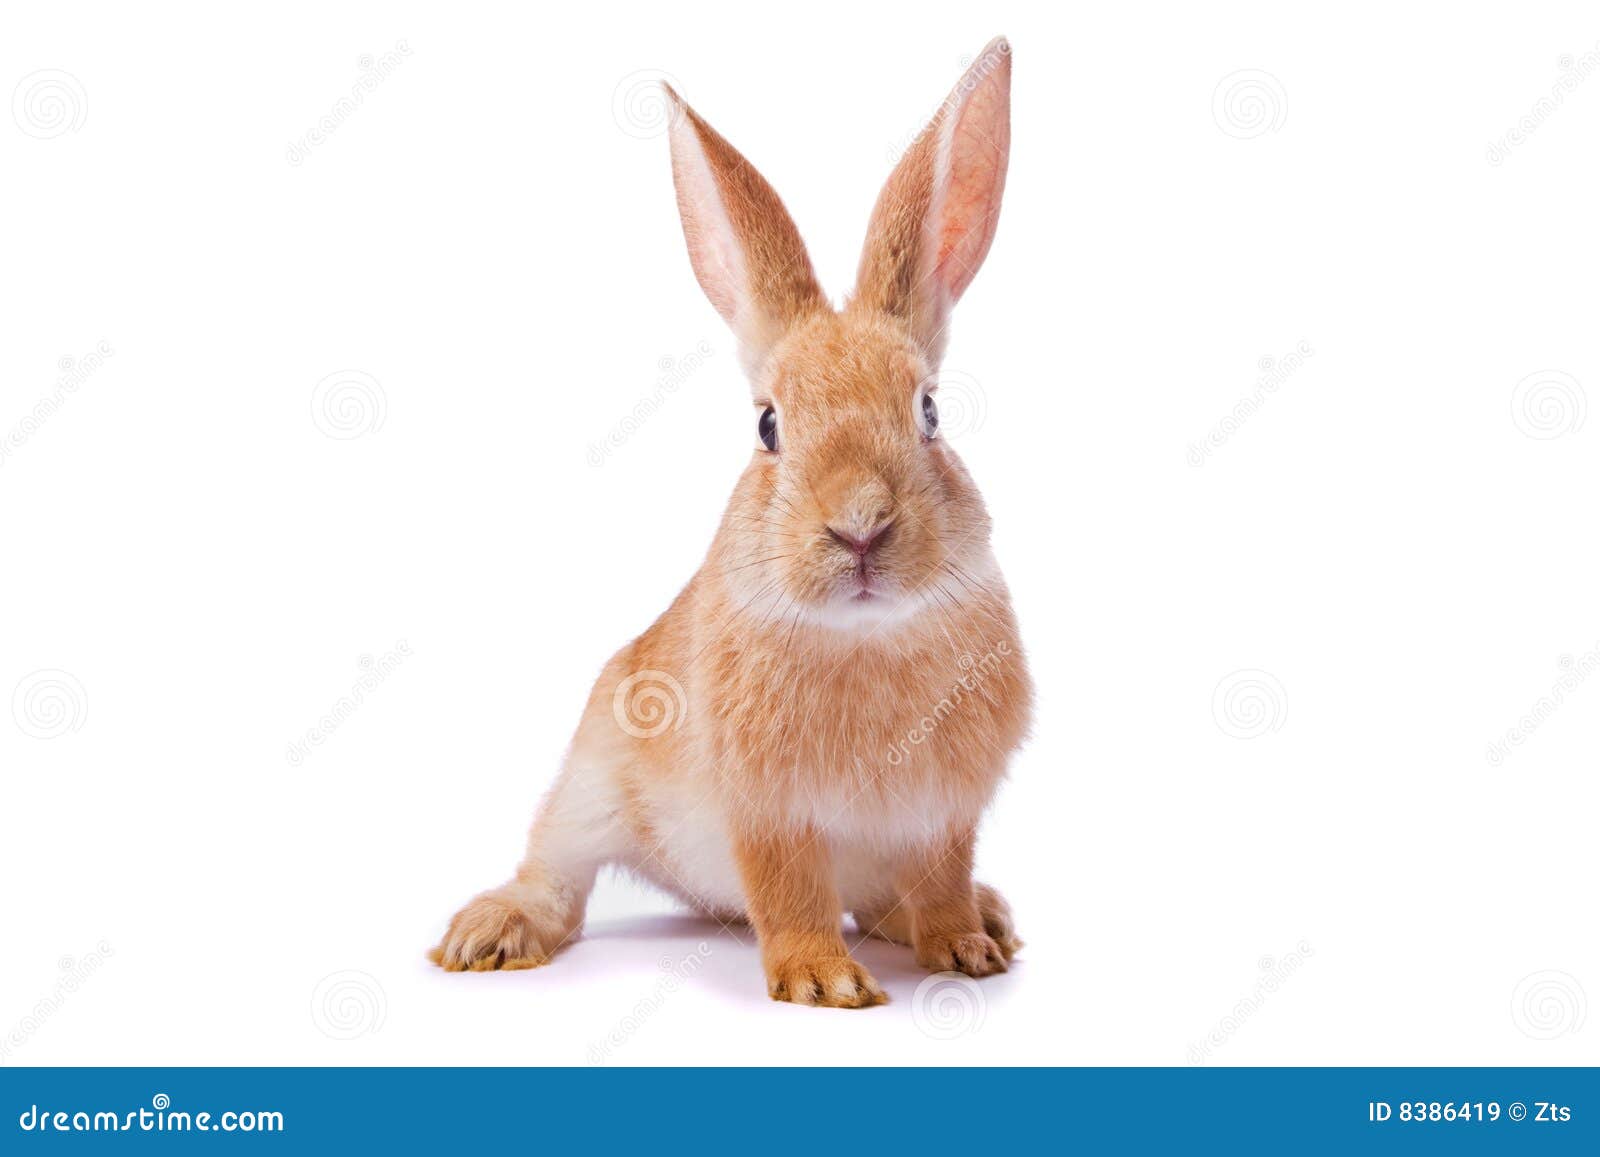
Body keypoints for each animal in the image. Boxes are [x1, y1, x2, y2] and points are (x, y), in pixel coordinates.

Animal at [431, 36, 1032, 1008]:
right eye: (768, 426)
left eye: (931, 413)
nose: (860, 526)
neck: (864, 637)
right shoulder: (769, 815)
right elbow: (788, 893)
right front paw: (823, 982)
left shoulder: (944, 815)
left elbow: (941, 879)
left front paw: (964, 950)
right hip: (590, 783)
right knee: (557, 874)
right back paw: (489, 933)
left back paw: (988, 918)